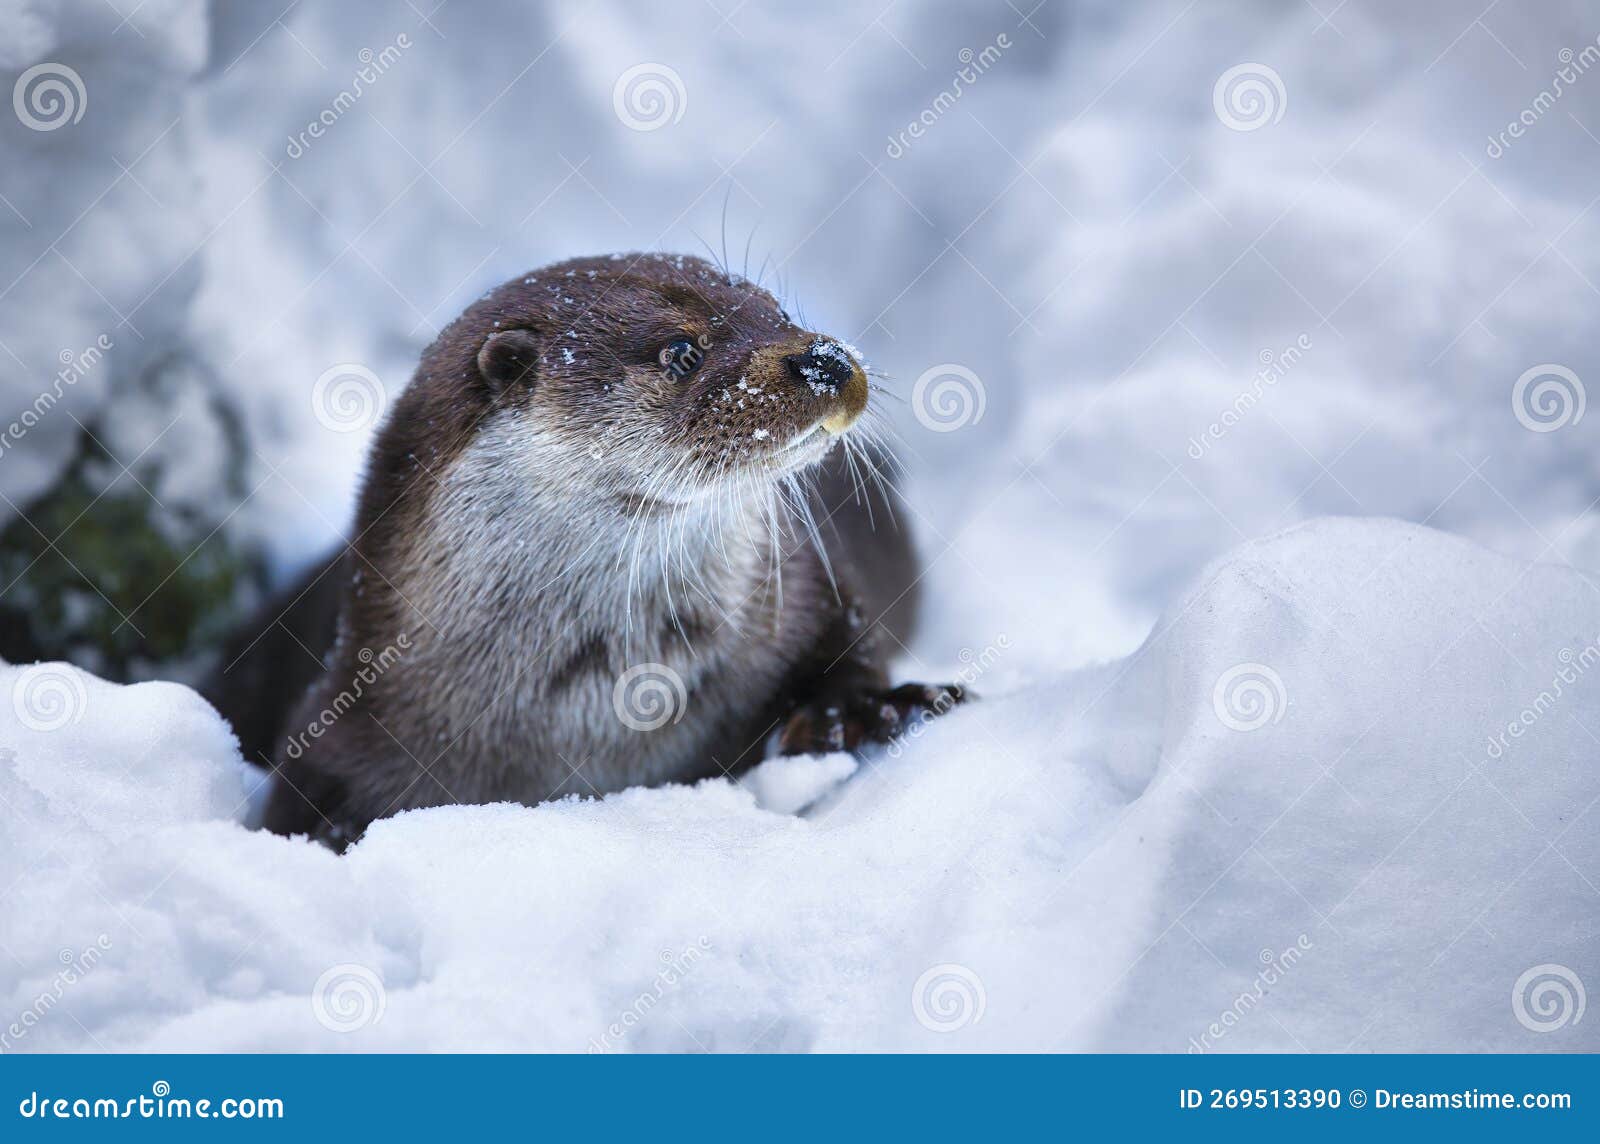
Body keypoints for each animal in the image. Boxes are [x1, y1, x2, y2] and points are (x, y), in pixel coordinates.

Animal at [207, 253, 962, 846]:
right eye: (680, 351)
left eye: (776, 308)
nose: (823, 359)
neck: (602, 707)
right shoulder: (345, 728)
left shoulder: (806, 588)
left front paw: (863, 712)